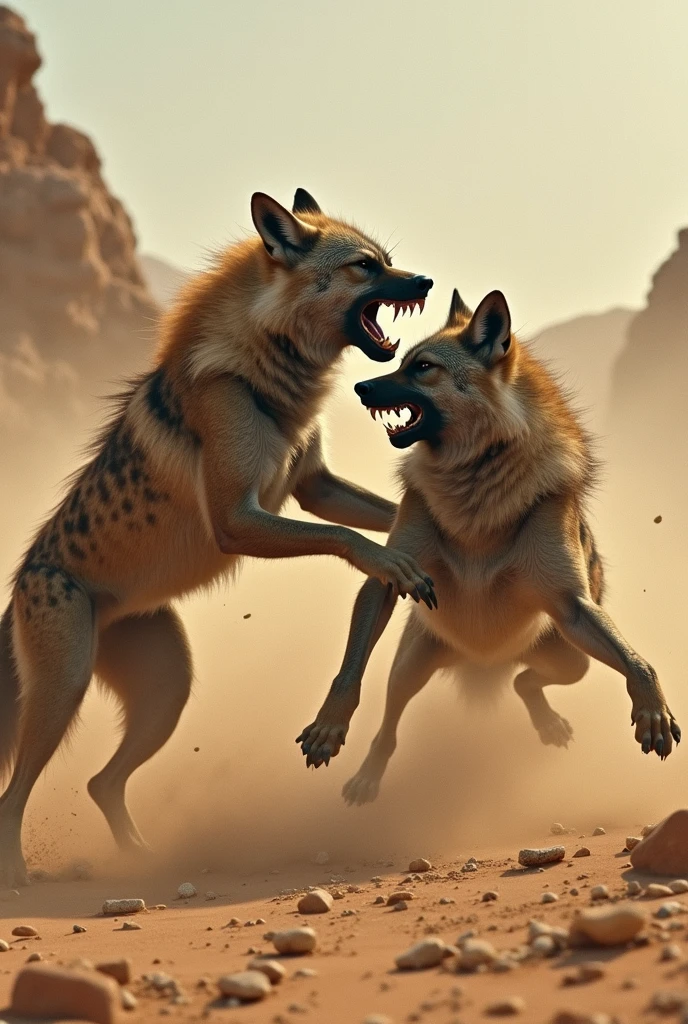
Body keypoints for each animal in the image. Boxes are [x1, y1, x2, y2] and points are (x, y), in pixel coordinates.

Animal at [0, 188, 436, 885]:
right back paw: (18, 876)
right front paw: (393, 563)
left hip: (167, 694)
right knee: (14, 795)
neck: (266, 382)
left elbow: (374, 514)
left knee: (101, 783)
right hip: (62, 693)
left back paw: (141, 859)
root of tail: (23, 580)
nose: (423, 282)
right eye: (365, 267)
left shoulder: (312, 485)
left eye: (388, 260)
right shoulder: (238, 518)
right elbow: (349, 537)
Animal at [297, 288, 681, 803]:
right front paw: (329, 725)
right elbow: (349, 674)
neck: (475, 496)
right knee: (389, 727)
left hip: (572, 660)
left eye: (422, 367)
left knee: (523, 682)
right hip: (409, 667)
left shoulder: (571, 603)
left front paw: (653, 710)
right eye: (402, 362)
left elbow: (640, 664)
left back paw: (547, 721)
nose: (361, 387)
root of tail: (485, 658)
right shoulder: (387, 577)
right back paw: (367, 778)